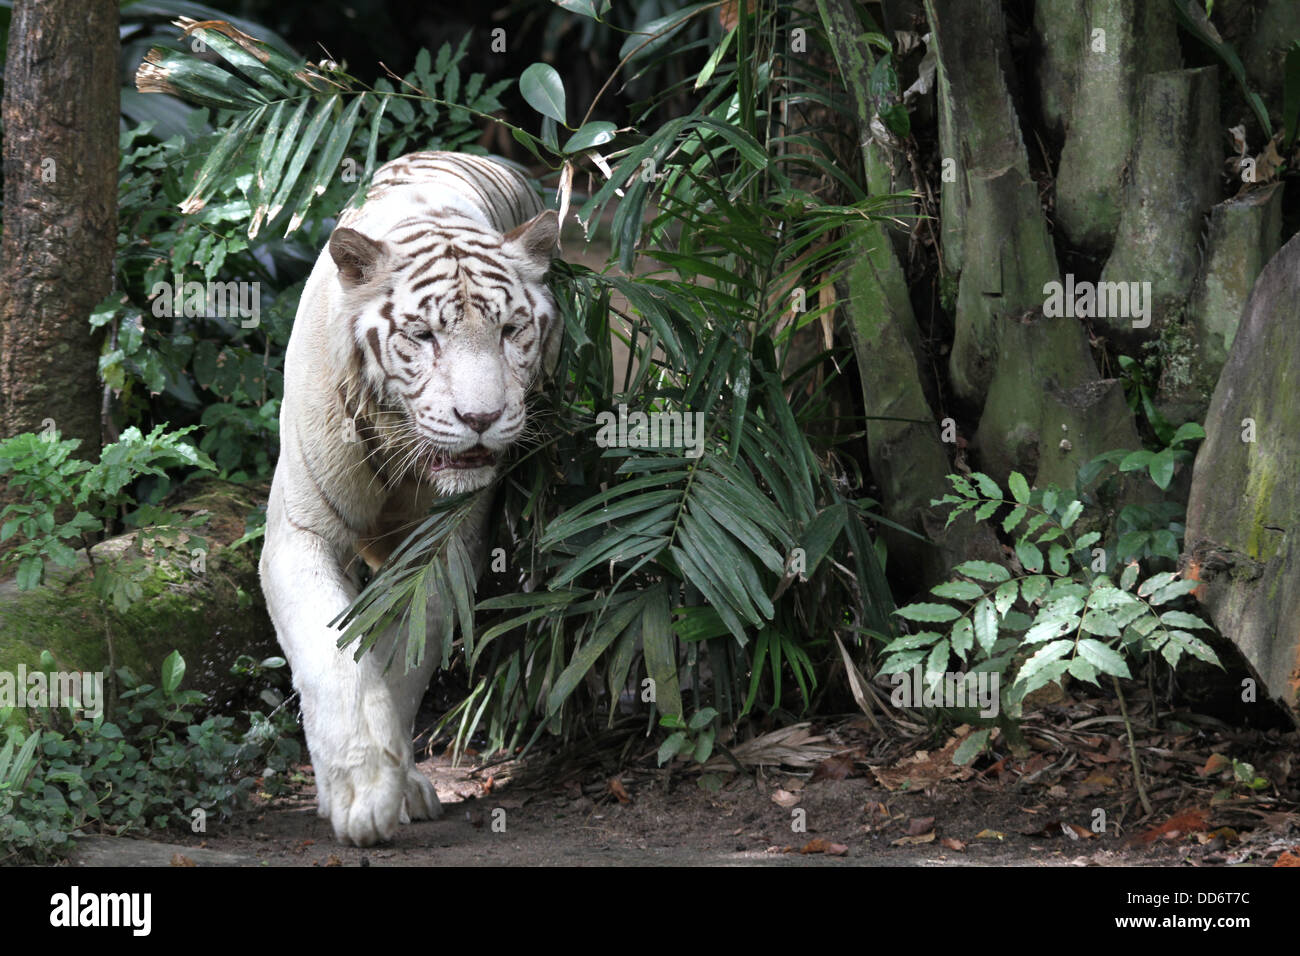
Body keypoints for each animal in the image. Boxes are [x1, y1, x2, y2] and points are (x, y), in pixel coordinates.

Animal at [258, 151, 559, 846]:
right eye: (423, 335)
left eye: (510, 331)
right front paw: (360, 790)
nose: (481, 418)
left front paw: (389, 792)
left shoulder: (442, 553)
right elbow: (333, 661)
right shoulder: (301, 534)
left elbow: (401, 664)